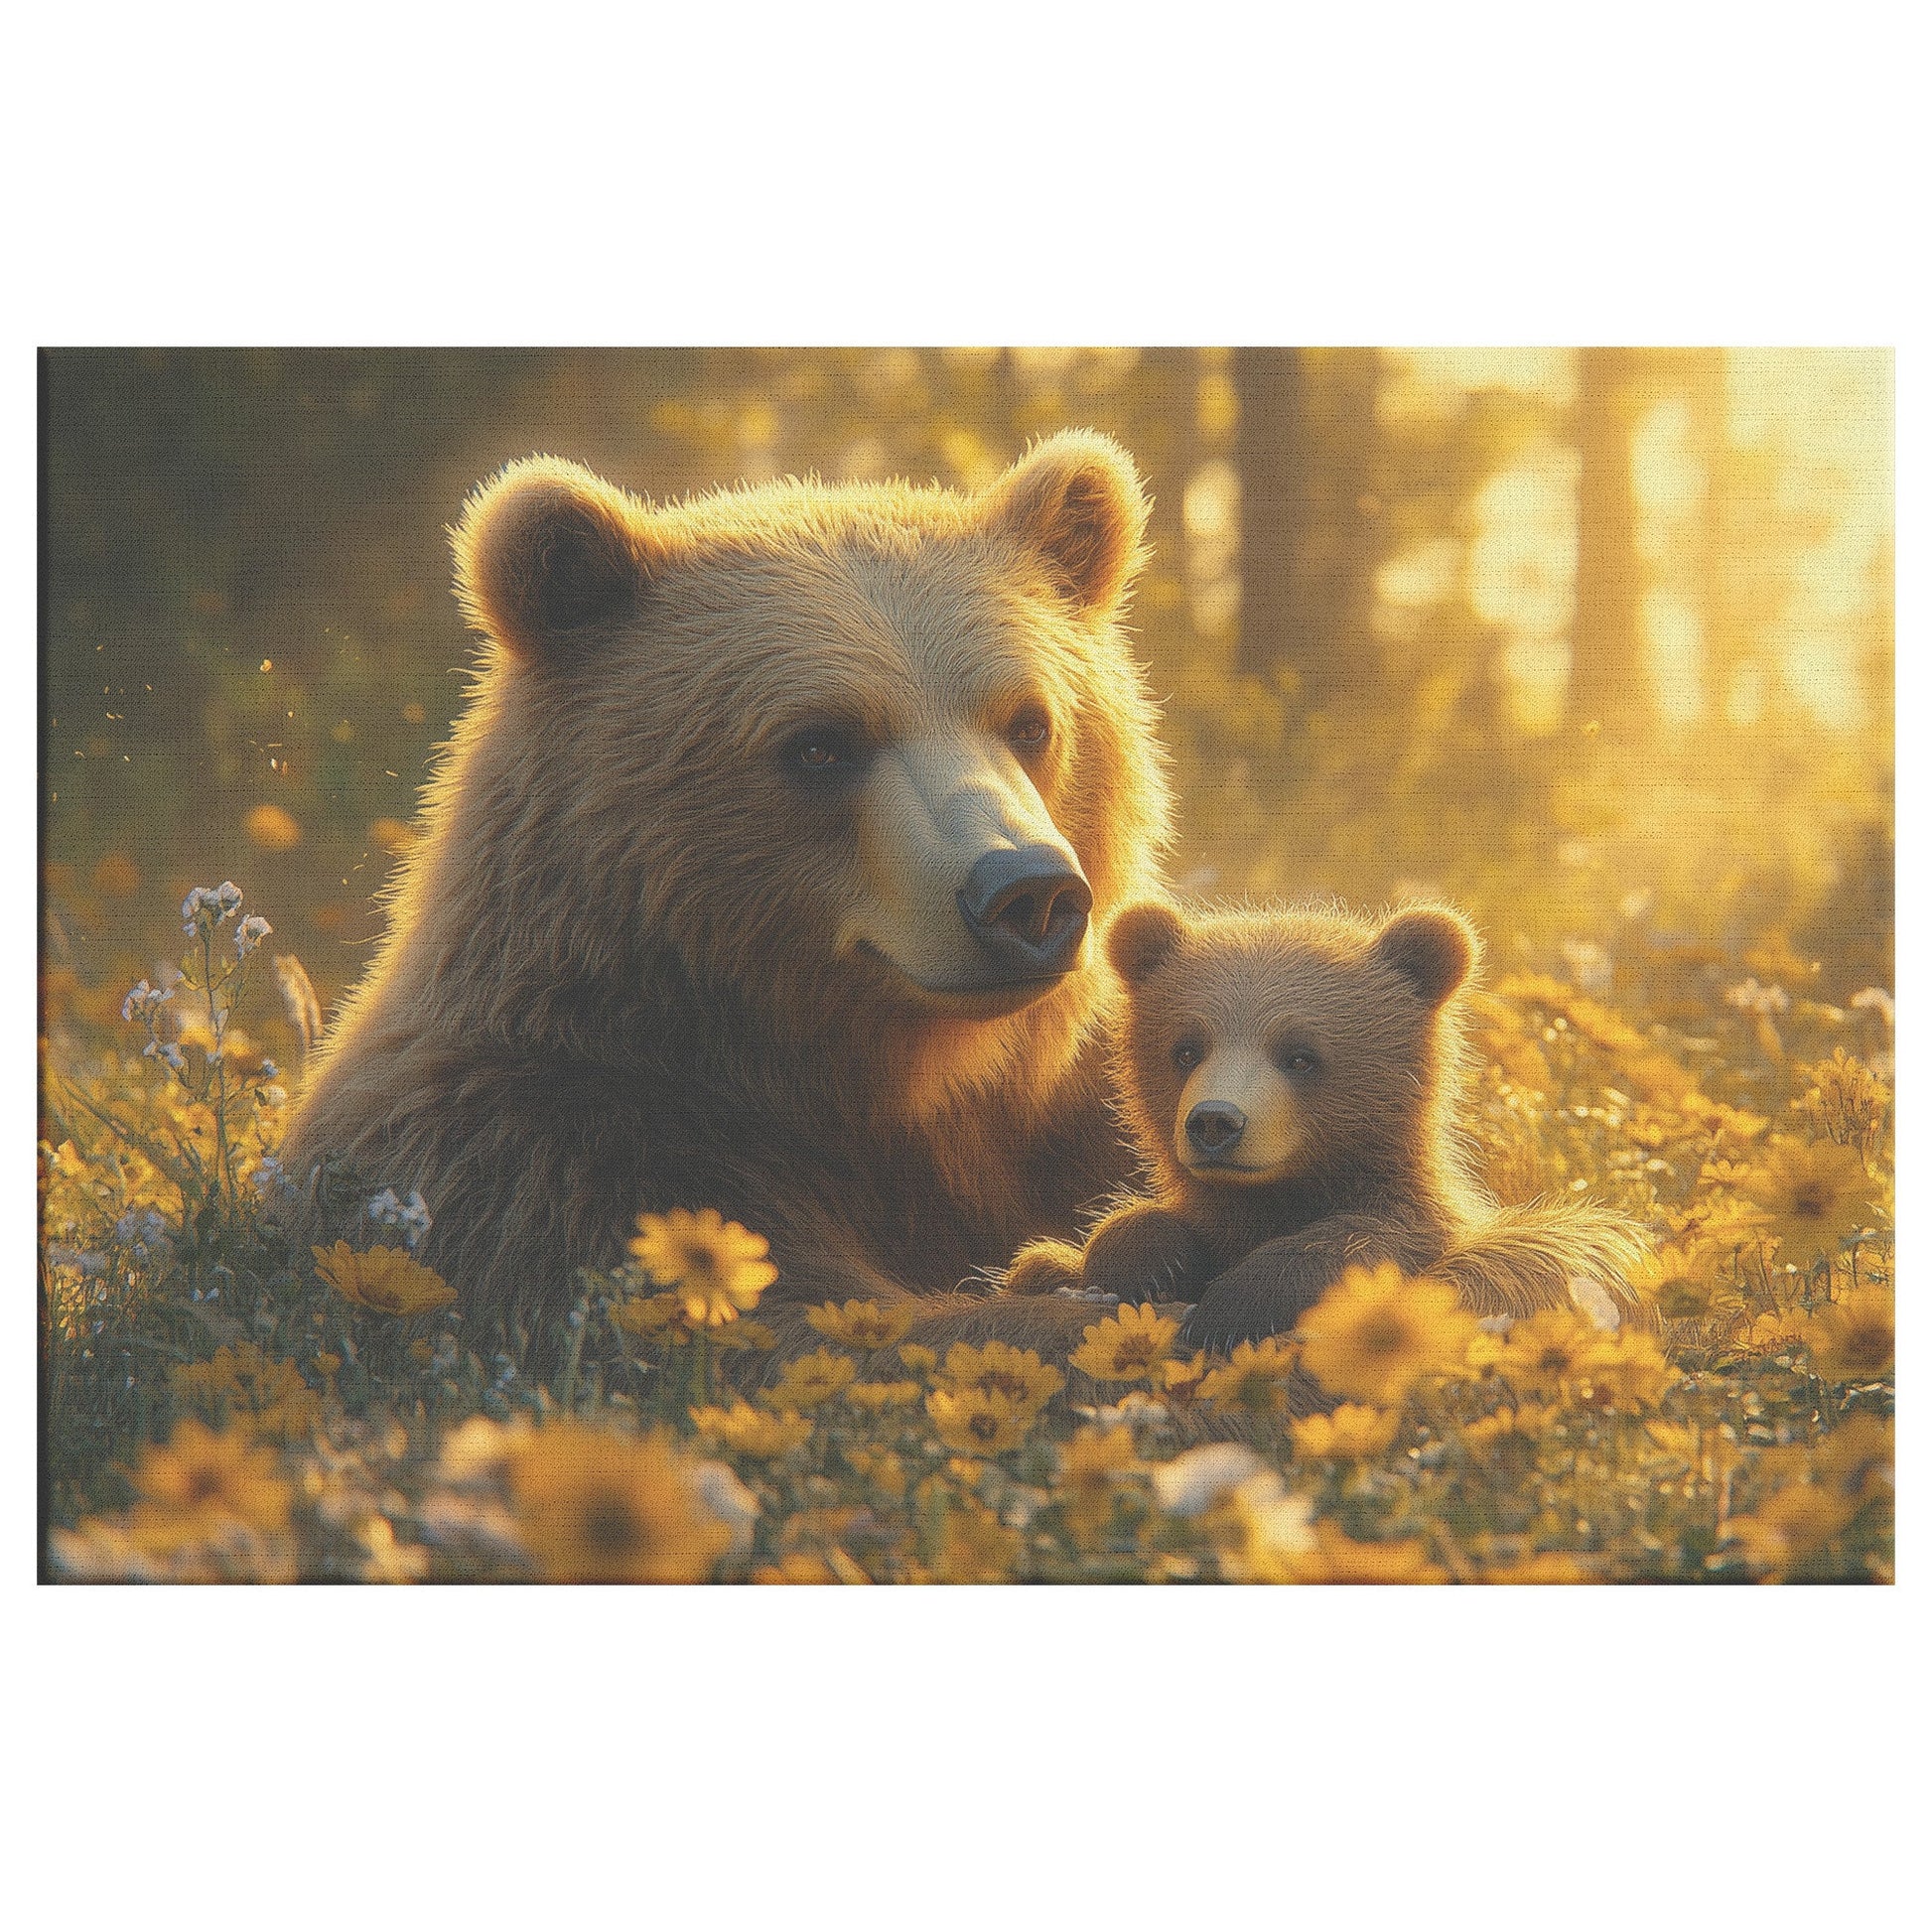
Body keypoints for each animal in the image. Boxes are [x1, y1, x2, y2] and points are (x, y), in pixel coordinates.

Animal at [282, 431, 1173, 1352]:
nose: (1025, 893)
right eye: (819, 743)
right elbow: (808, 1323)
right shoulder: (550, 1153)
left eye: (1030, 722)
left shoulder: (1071, 1101)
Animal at [1006, 899, 1649, 1351]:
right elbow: (1080, 1251)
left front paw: (1227, 1312)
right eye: (1186, 1047)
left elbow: (1361, 1243)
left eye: (1299, 1054)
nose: (1215, 1122)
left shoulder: (1420, 1229)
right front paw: (1143, 1262)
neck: (1281, 1197)